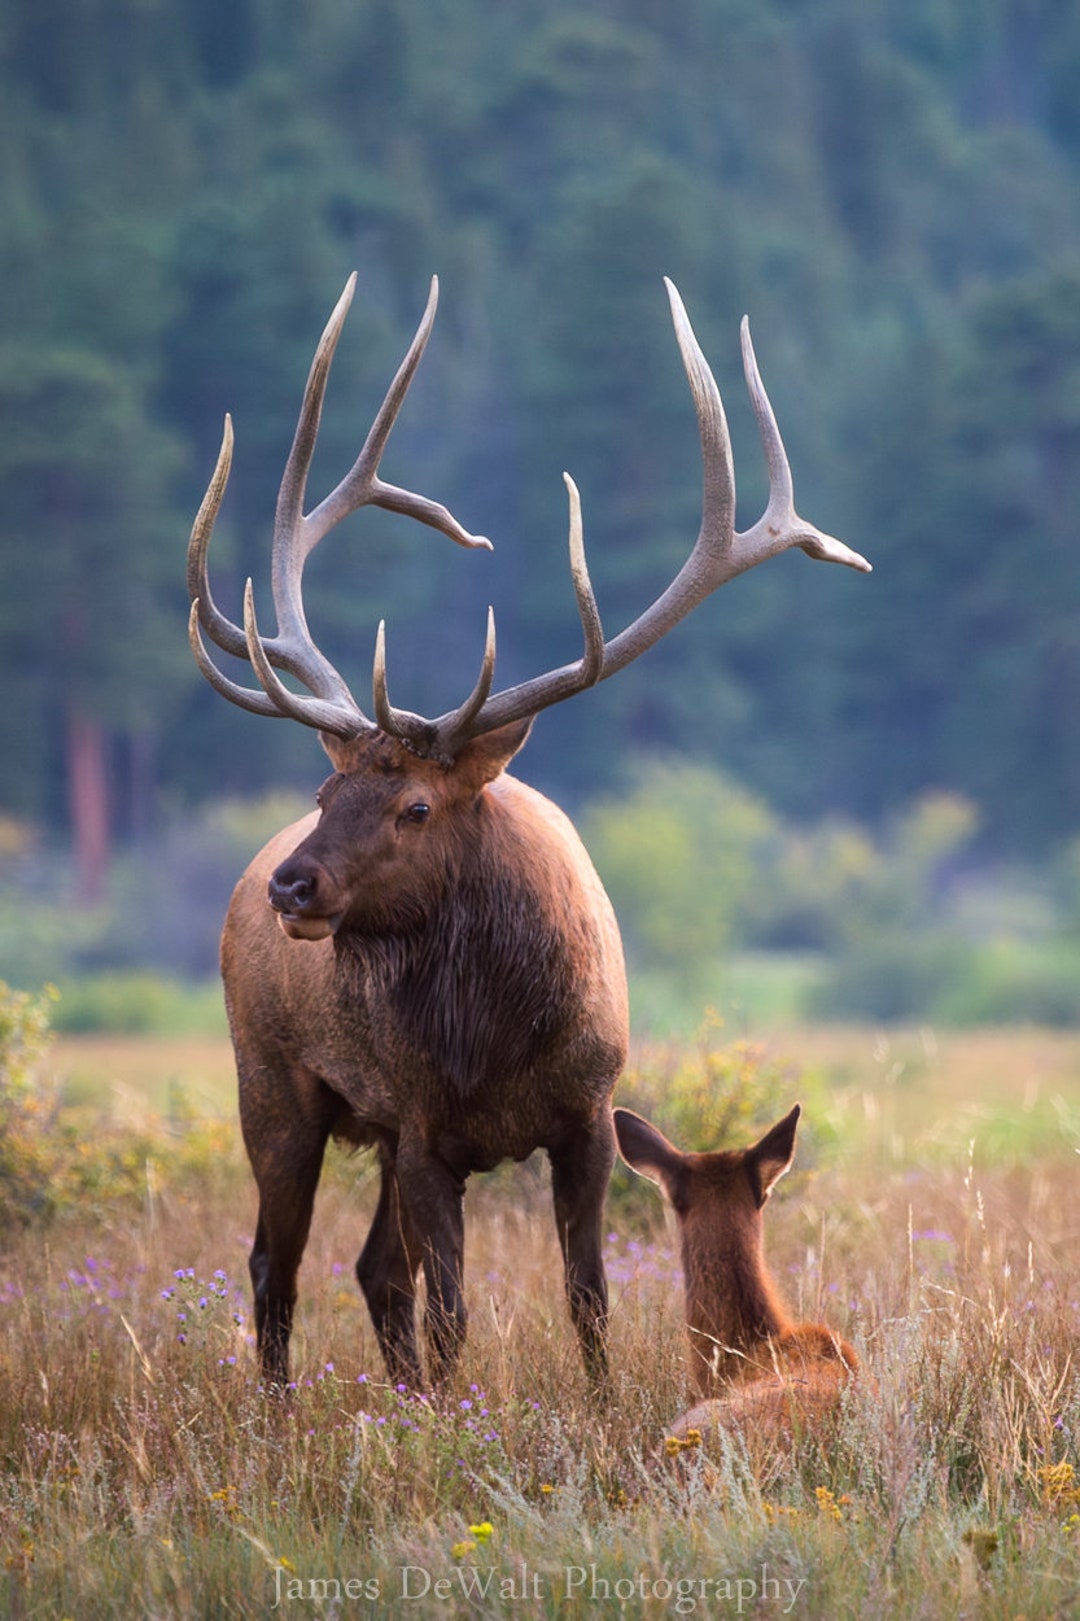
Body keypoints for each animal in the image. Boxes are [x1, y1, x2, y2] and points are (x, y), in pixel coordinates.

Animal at [186, 271, 870, 1391]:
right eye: (327, 794)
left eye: (417, 806)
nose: (294, 884)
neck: (496, 1039)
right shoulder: (424, 1126)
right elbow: (454, 1309)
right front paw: (458, 1416)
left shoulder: (585, 1115)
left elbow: (586, 1292)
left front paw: (590, 1406)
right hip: (275, 1087)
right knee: (271, 1267)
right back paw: (280, 1416)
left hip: (358, 1124)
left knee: (368, 1269)